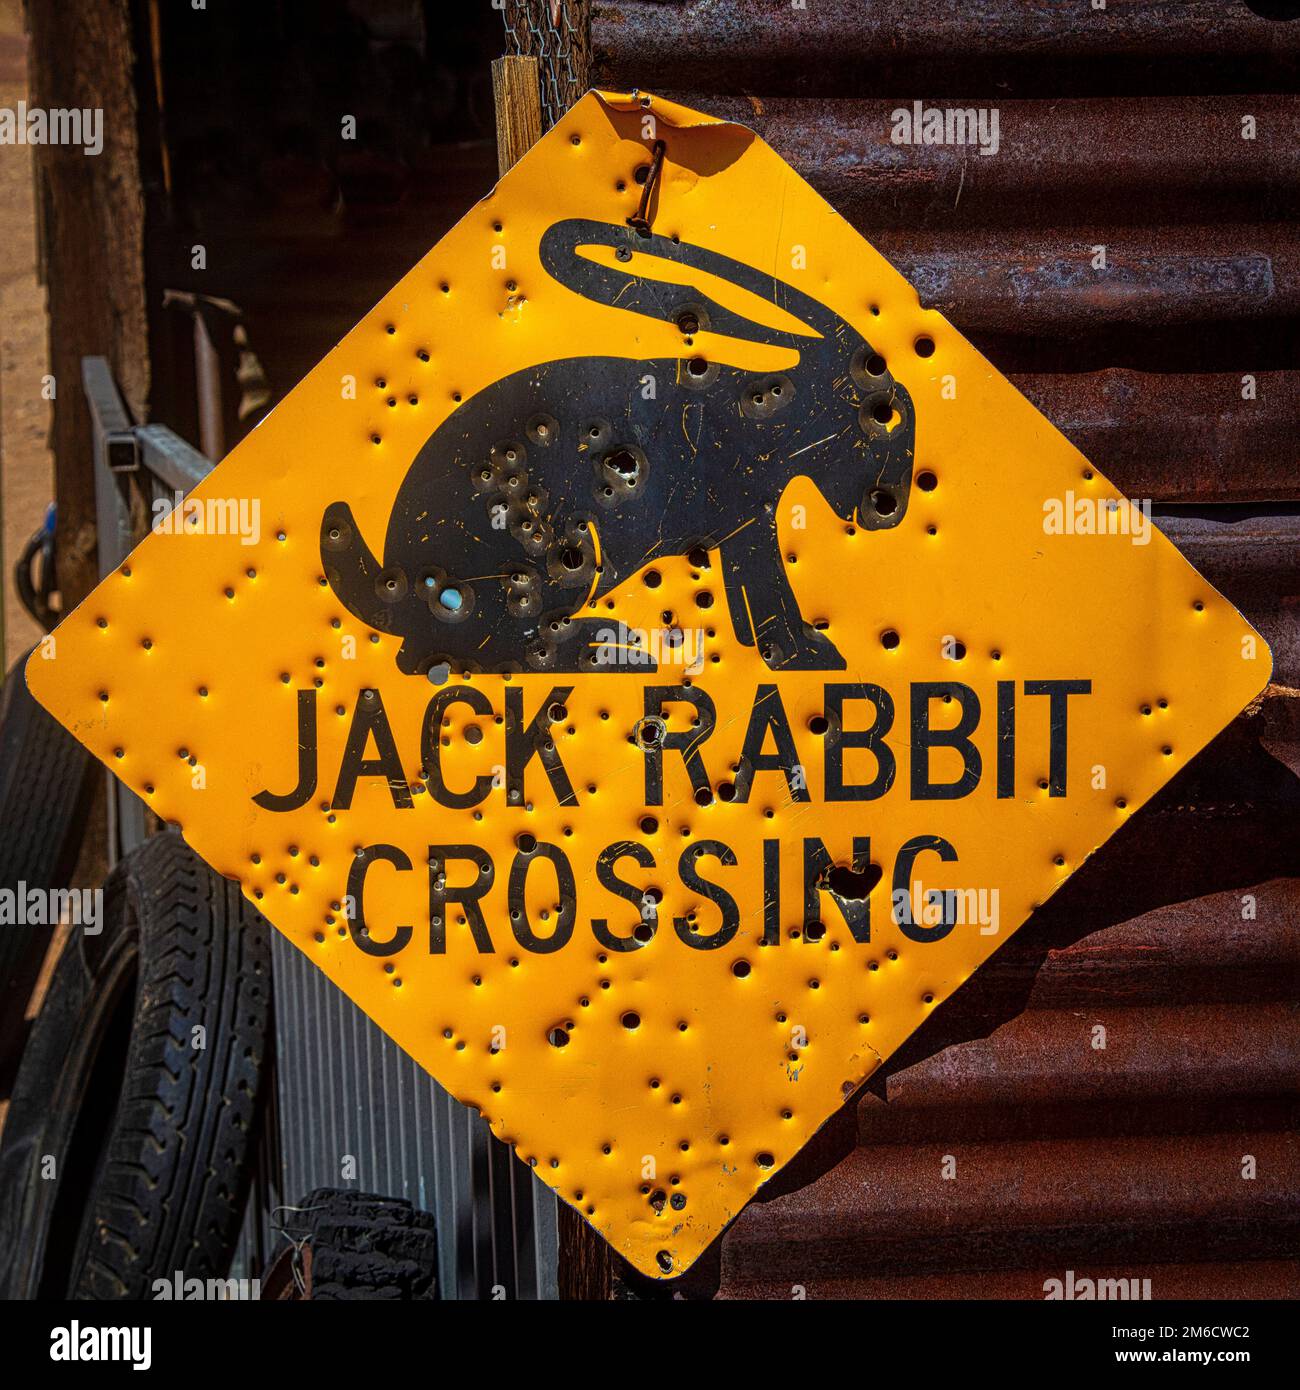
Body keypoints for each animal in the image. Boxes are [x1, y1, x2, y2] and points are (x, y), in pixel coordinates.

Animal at [320, 217, 915, 676]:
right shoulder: (746, 521)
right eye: (883, 418)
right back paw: (608, 648)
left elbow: (755, 600)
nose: (886, 511)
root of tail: (395, 581)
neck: (770, 416)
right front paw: (806, 656)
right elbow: (765, 594)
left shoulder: (747, 524)